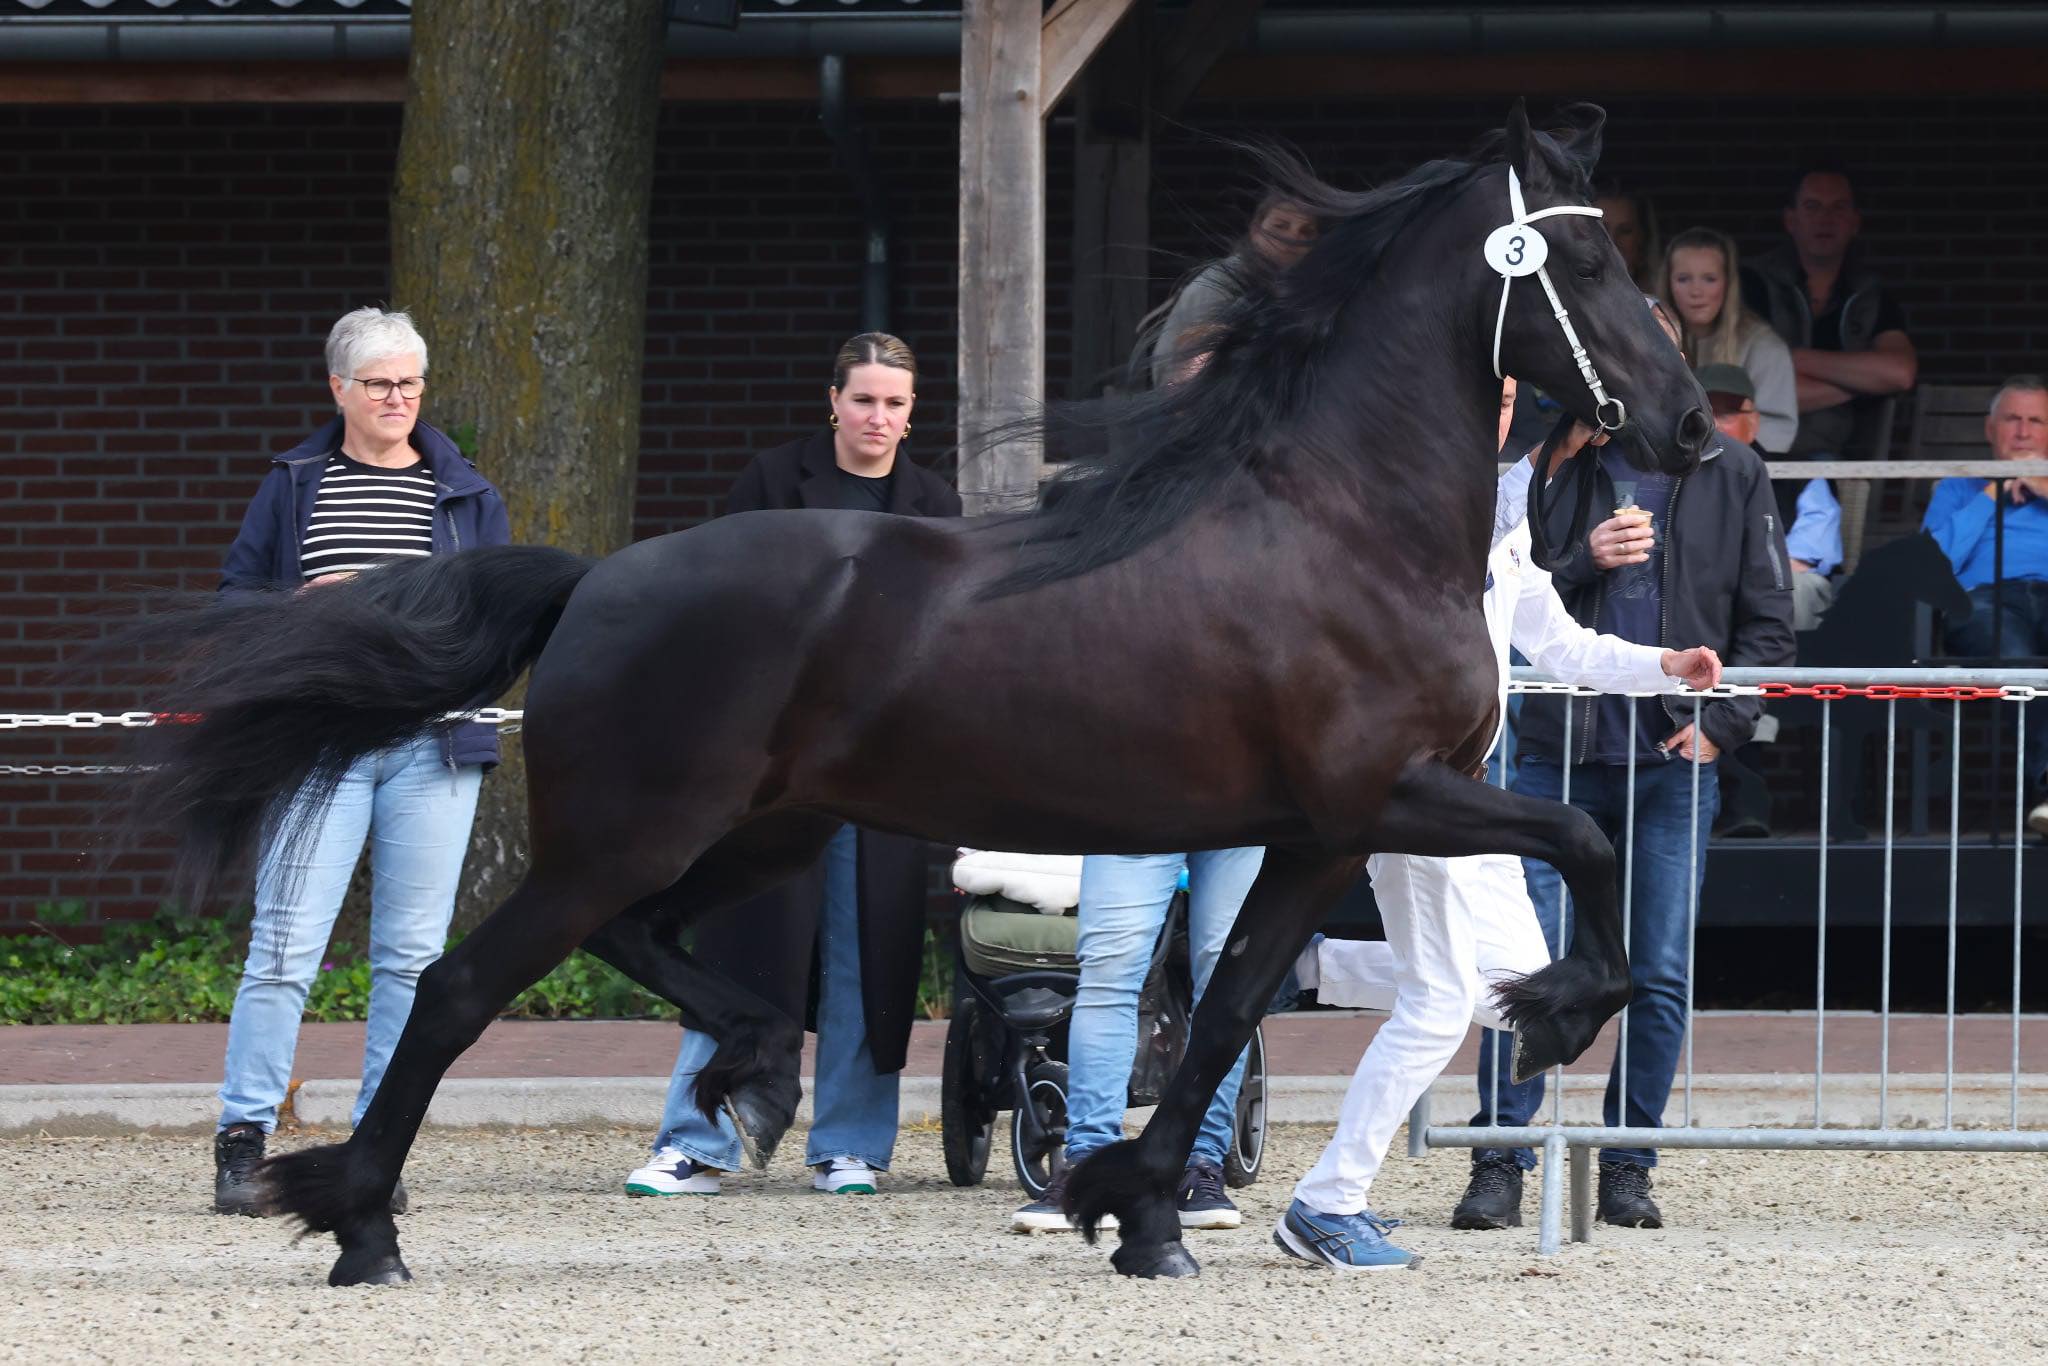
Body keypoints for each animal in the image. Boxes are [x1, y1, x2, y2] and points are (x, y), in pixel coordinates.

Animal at [121, 101, 1710, 1285]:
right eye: (1588, 271)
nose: (1691, 427)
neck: (1343, 523)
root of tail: (592, 582)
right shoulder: (1384, 797)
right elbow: (1583, 837)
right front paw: (1554, 1008)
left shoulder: (1311, 836)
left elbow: (1223, 1011)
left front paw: (1132, 1209)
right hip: (636, 832)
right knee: (458, 988)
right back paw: (362, 1222)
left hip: (749, 830)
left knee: (650, 944)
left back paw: (746, 1065)